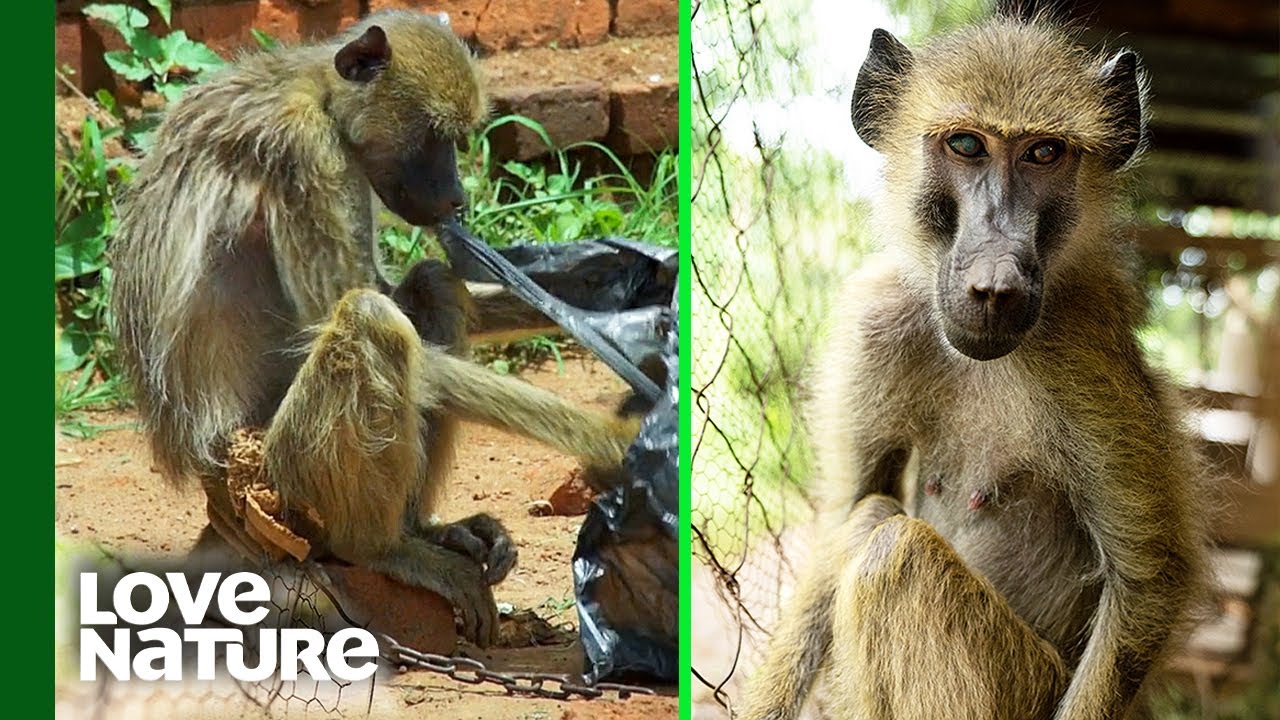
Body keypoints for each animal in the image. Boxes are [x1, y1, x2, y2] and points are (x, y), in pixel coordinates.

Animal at [109, 11, 638, 647]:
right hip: (281, 483)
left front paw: (629, 291)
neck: (317, 90)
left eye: (455, 140)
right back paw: (376, 548)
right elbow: (352, 311)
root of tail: (215, 483)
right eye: (434, 137)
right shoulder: (305, 152)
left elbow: (405, 292)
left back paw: (426, 531)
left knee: (430, 284)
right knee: (371, 318)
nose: (456, 199)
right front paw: (615, 437)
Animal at [737, 17, 1208, 720]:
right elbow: (847, 506)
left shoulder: (1081, 353)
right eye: (966, 145)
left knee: (895, 553)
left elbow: (1149, 579)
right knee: (873, 515)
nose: (995, 284)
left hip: (1021, 685)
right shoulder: (878, 320)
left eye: (1044, 153)